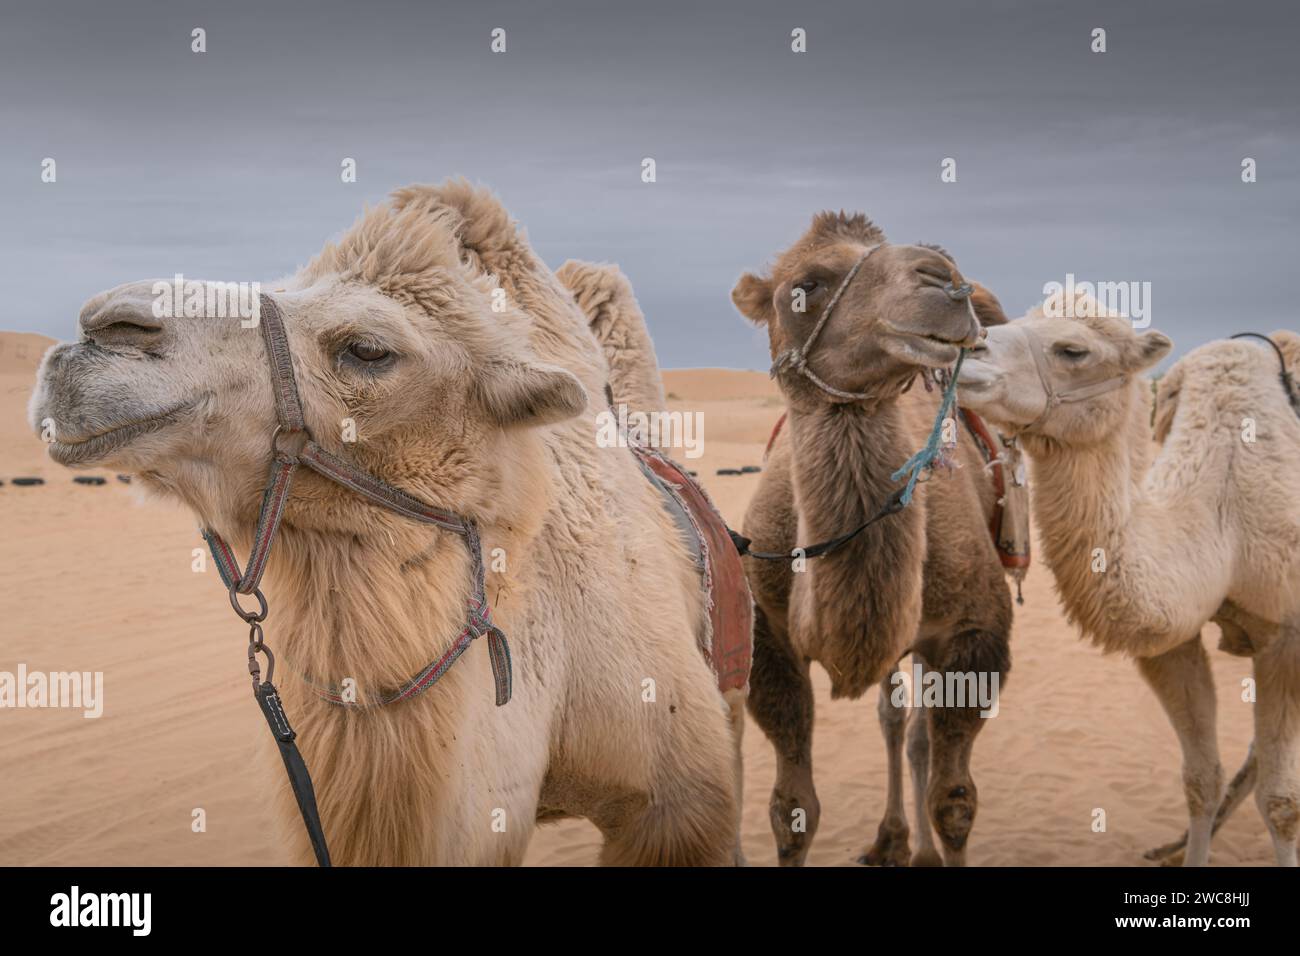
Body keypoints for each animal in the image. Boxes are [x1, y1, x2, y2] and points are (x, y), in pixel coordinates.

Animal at [731, 212, 1015, 866]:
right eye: (805, 284)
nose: (945, 280)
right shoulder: (771, 637)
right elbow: (792, 809)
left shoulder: (975, 637)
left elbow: (954, 803)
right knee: (895, 717)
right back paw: (890, 840)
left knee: (912, 733)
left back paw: (911, 846)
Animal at [955, 291, 1300, 866]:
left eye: (1073, 350)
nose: (965, 349)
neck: (1222, 518)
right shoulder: (1171, 643)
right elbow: (1200, 780)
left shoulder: (1287, 633)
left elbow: (1281, 802)